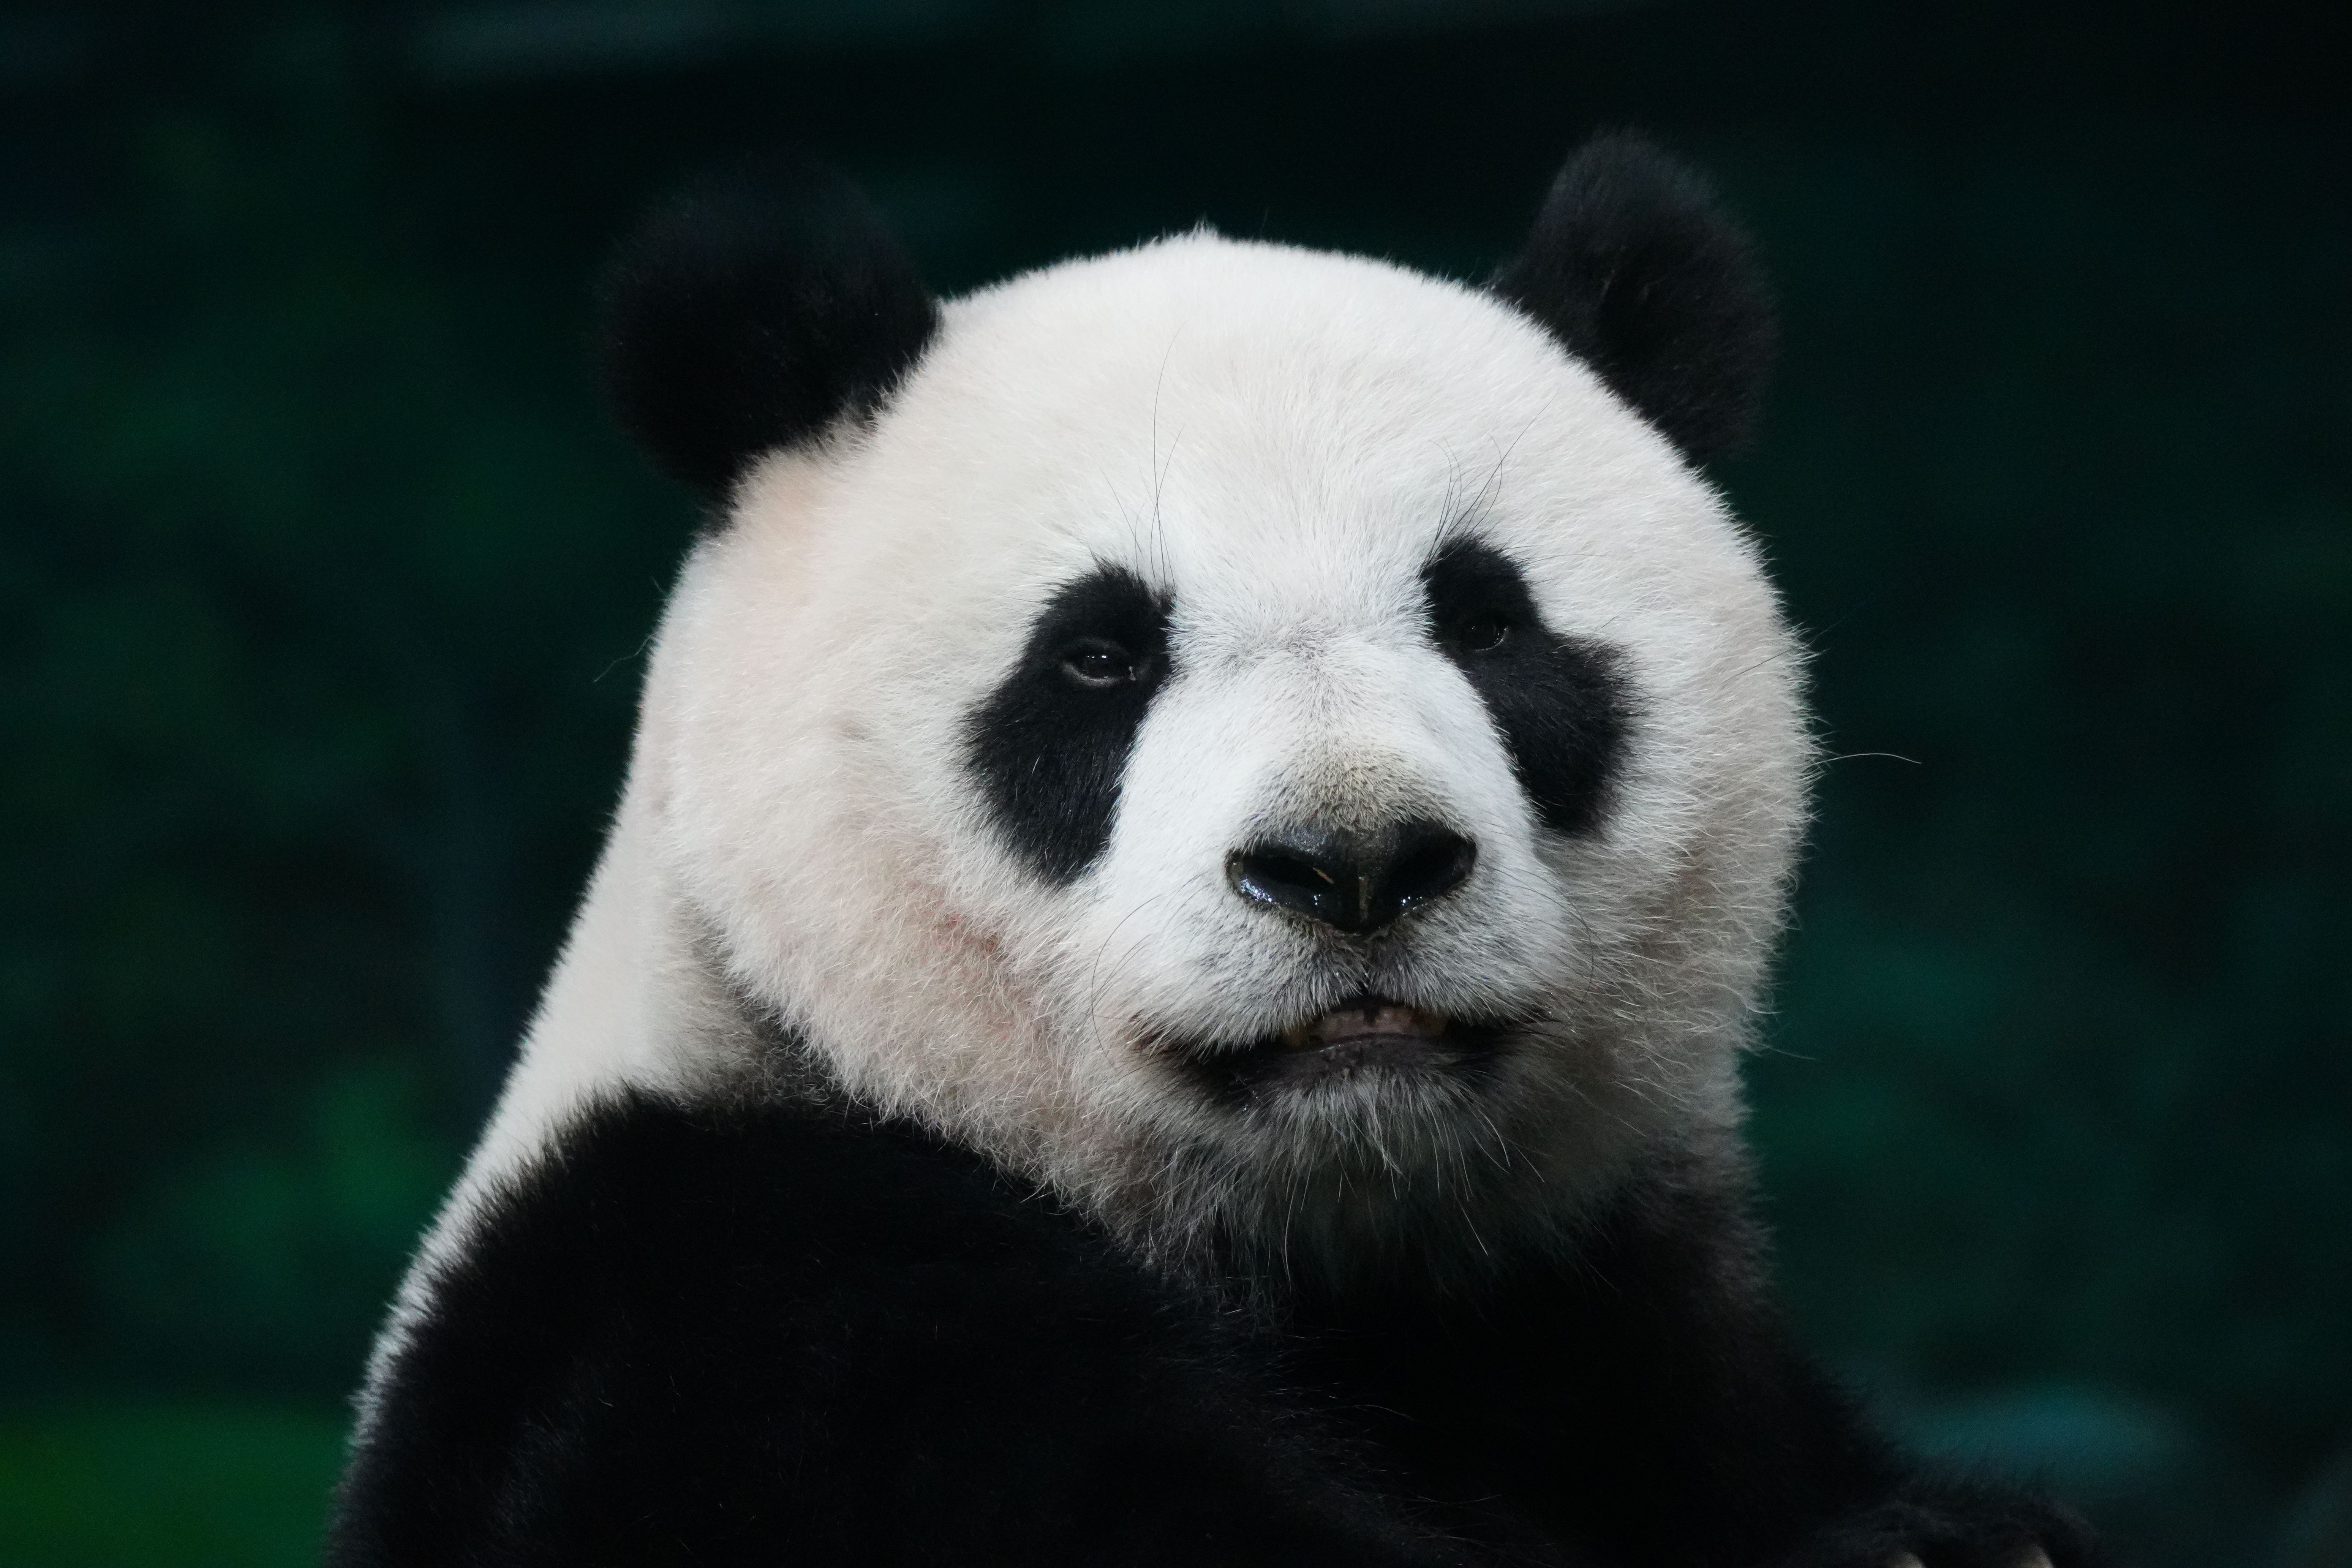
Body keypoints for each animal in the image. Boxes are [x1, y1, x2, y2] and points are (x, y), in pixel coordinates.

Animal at [328, 136, 2107, 1568]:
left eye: (1487, 621)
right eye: (1097, 657)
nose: (1354, 864)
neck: (1323, 1249)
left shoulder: (1611, 1316)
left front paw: (1951, 1530)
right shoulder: (726, 1320)